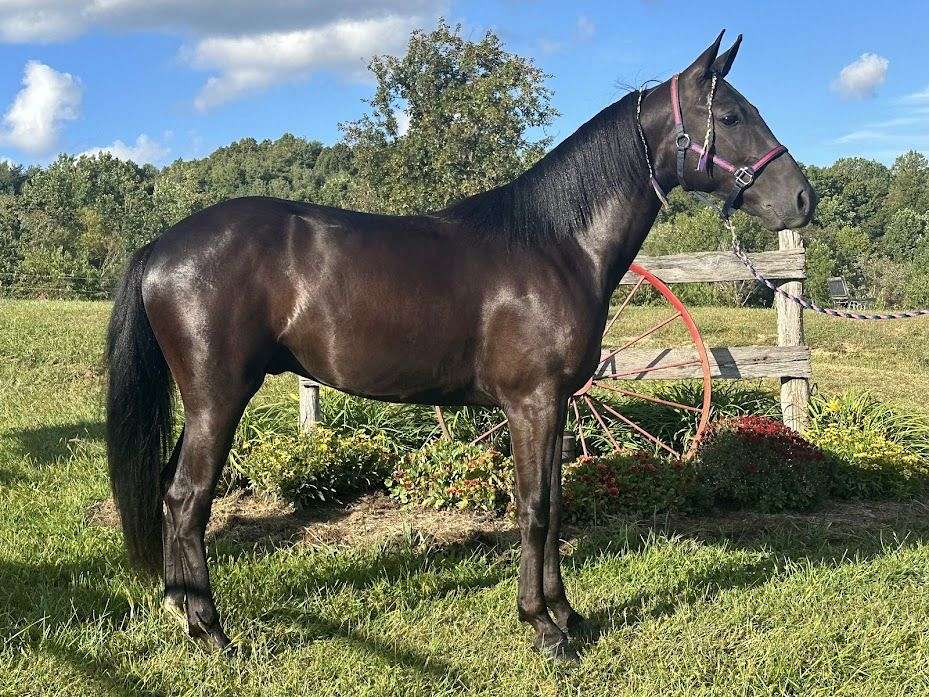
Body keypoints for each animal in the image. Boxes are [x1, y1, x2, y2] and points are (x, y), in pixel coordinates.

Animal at [105, 31, 814, 661]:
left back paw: (184, 614)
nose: (804, 198)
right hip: (218, 400)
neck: (553, 245)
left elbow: (556, 503)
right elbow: (533, 508)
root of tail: (161, 246)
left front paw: (567, 615)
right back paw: (213, 633)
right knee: (187, 498)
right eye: (731, 114)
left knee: (172, 493)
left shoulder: (556, 405)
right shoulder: (531, 403)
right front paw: (544, 629)